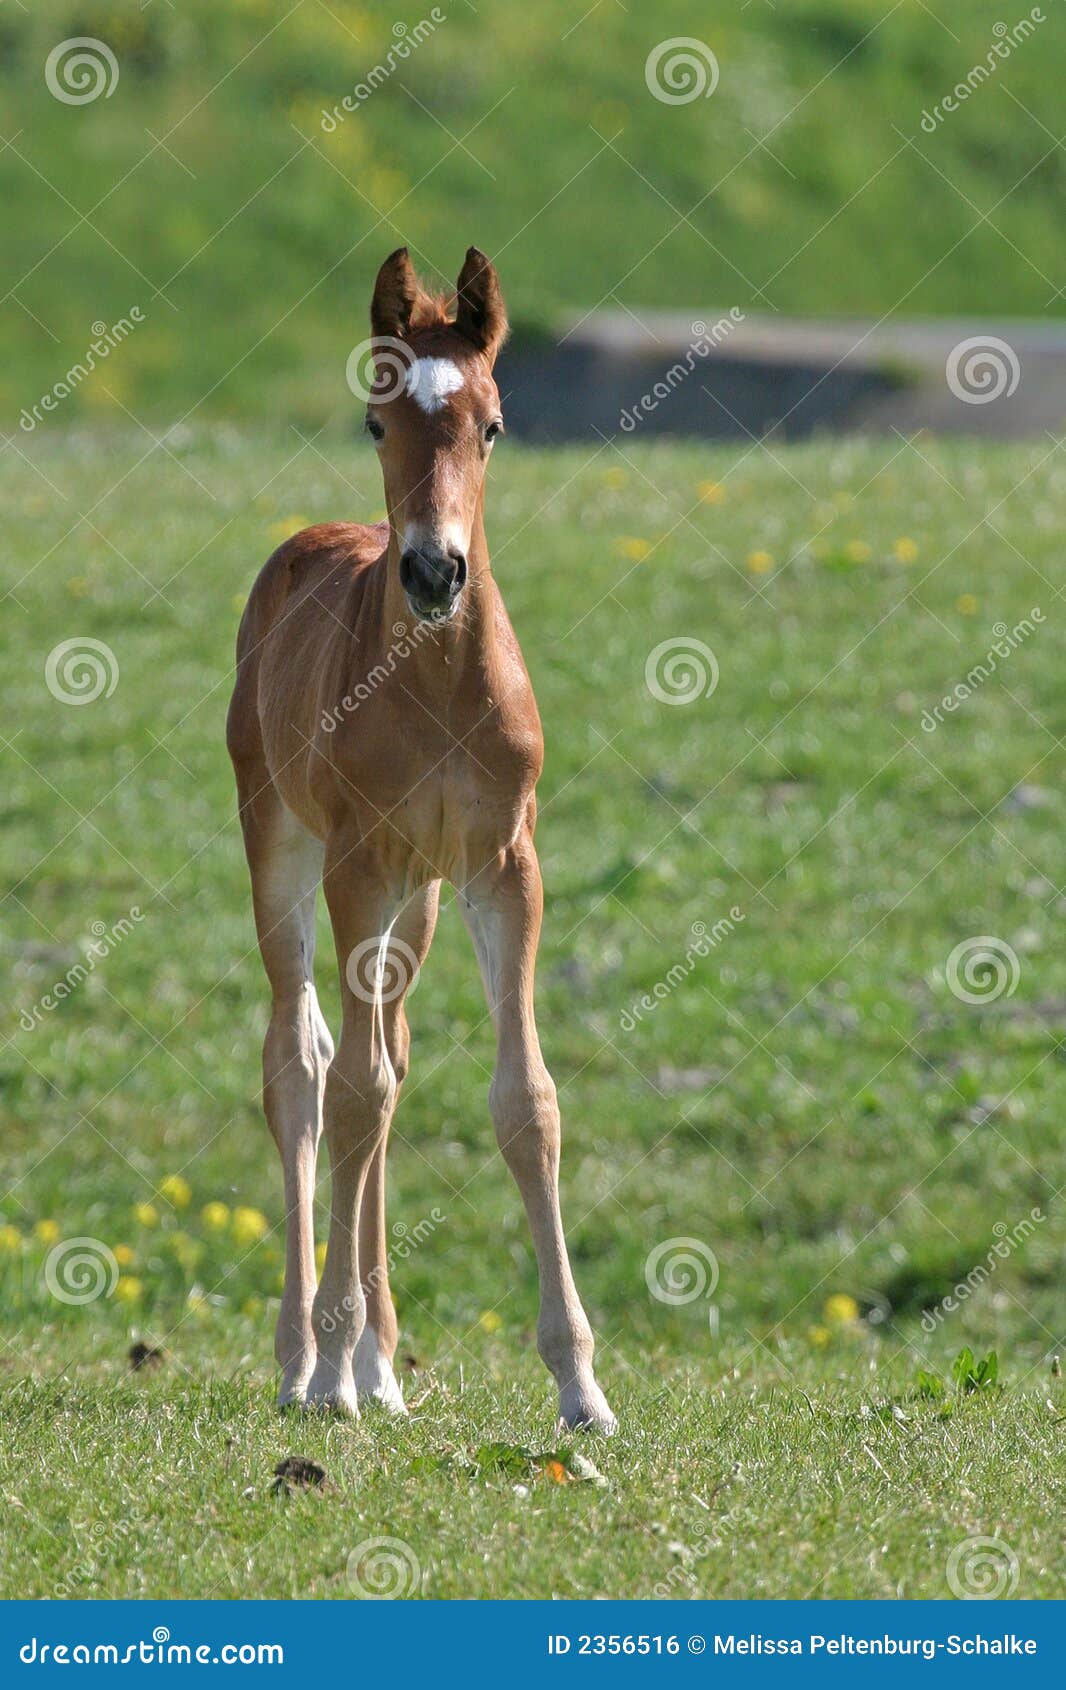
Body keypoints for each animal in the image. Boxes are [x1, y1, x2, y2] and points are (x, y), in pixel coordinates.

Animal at [226, 248, 616, 1434]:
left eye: (493, 424)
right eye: (373, 420)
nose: (434, 572)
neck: (439, 683)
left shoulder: (502, 870)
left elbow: (524, 1102)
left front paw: (580, 1385)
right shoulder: (358, 864)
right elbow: (347, 1092)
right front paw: (329, 1372)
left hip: (421, 905)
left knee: (387, 1062)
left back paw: (380, 1364)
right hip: (284, 847)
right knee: (303, 1068)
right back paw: (309, 1358)